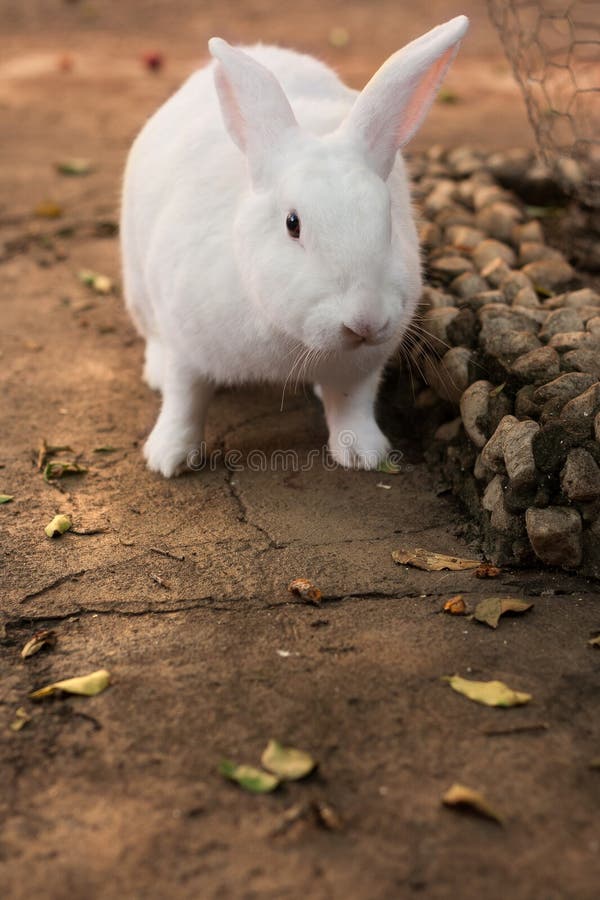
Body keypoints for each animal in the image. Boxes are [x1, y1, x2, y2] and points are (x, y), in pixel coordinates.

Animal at [121, 16, 469, 477]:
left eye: (389, 220)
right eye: (293, 224)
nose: (366, 321)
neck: (292, 340)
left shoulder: (361, 367)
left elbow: (351, 405)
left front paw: (363, 455)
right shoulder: (187, 347)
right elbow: (185, 402)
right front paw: (169, 459)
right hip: (137, 286)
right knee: (153, 341)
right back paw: (155, 375)